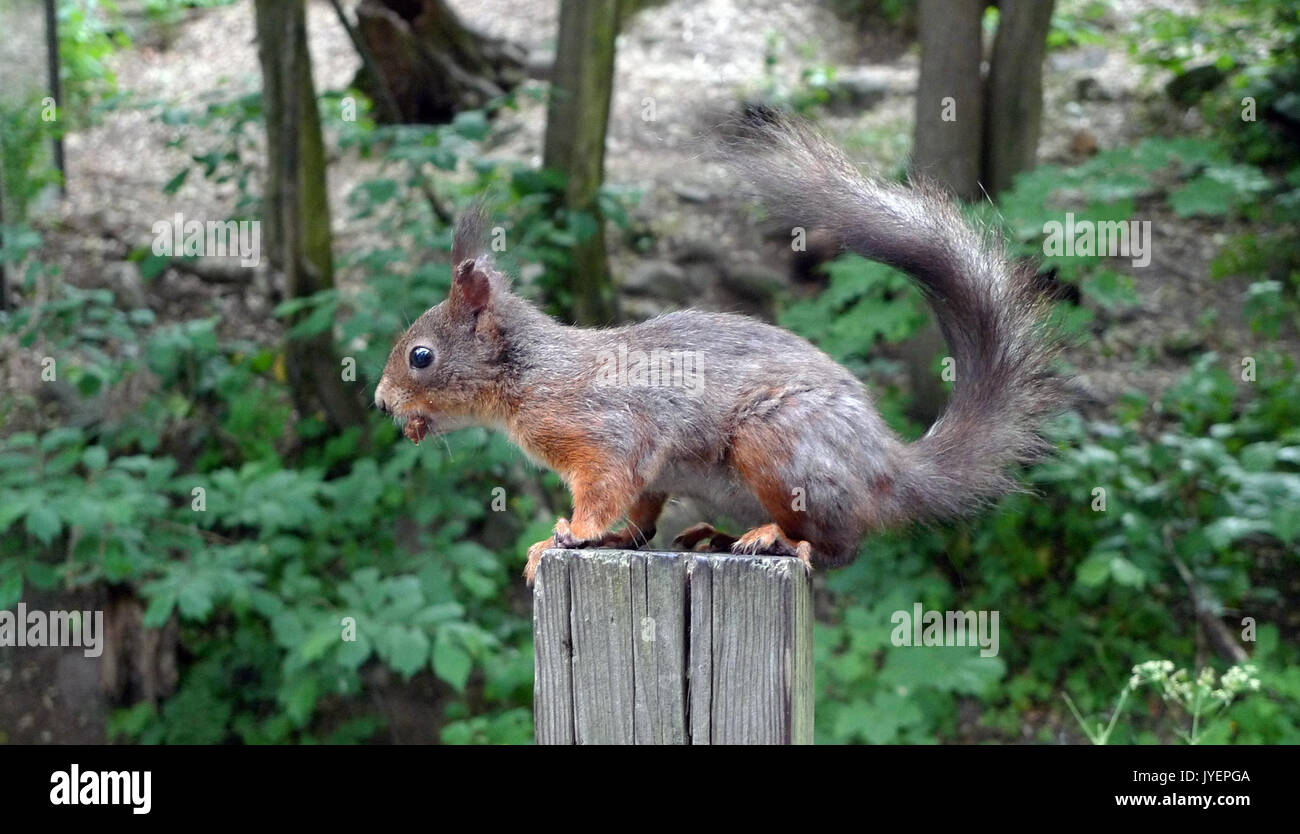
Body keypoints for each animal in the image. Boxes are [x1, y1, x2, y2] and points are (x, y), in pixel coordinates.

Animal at [373, 109, 1067, 585]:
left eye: (420, 356)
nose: (380, 402)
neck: (531, 373)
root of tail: (890, 469)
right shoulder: (648, 472)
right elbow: (640, 512)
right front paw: (608, 540)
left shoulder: (606, 428)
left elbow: (606, 485)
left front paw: (567, 536)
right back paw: (716, 535)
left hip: (779, 442)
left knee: (841, 547)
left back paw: (776, 541)